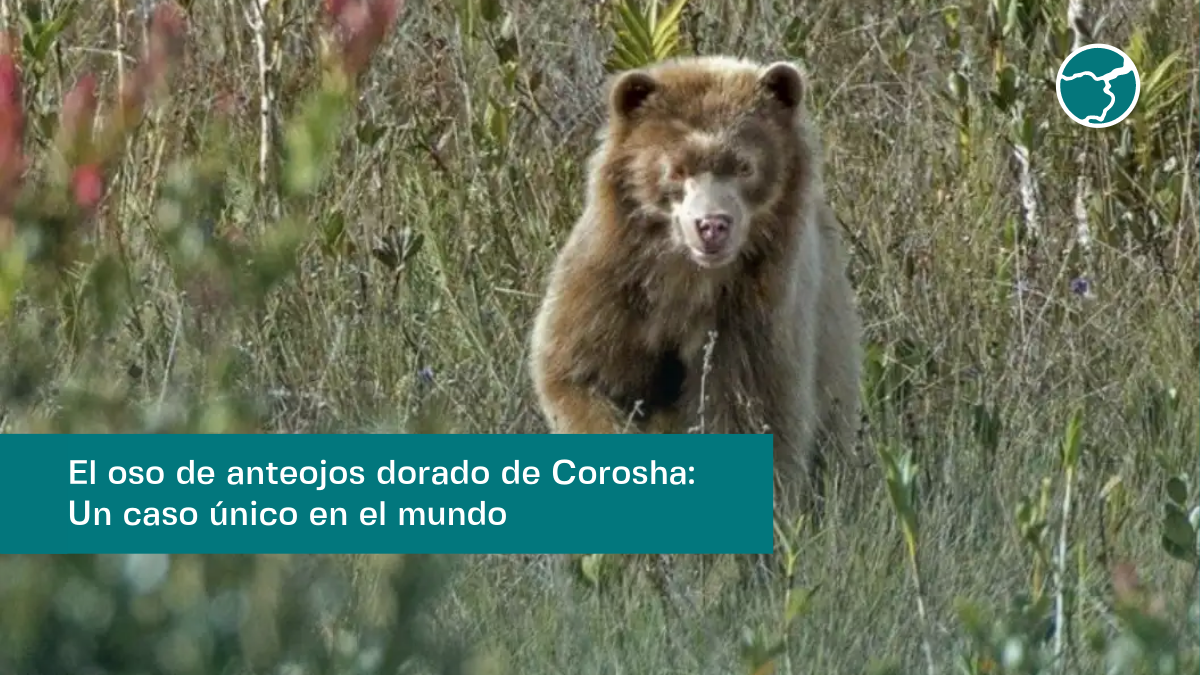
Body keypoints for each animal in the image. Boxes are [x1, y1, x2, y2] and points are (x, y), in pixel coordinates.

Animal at [527, 55, 862, 515]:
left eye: (744, 165)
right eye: (677, 167)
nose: (712, 225)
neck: (686, 280)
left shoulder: (755, 316)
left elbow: (752, 414)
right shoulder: (611, 289)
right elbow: (579, 373)